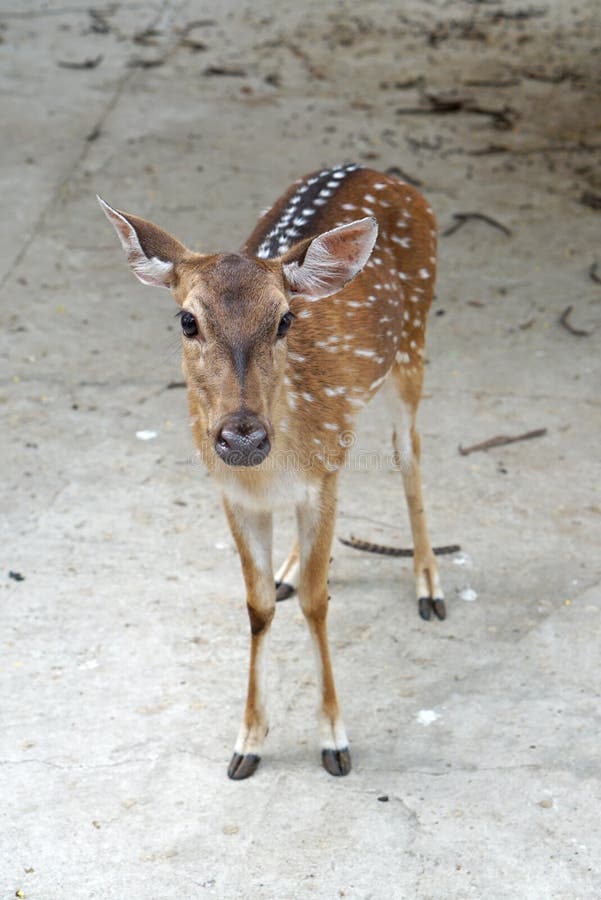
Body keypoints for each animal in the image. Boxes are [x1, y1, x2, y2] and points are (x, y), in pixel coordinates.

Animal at [98, 163, 445, 780]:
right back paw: (292, 566)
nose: (242, 436)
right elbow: (257, 606)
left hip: (412, 343)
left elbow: (317, 603)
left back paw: (428, 581)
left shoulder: (319, 475)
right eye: (187, 319)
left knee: (408, 448)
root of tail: (381, 173)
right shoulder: (234, 495)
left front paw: (334, 740)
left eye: (285, 319)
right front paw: (248, 742)